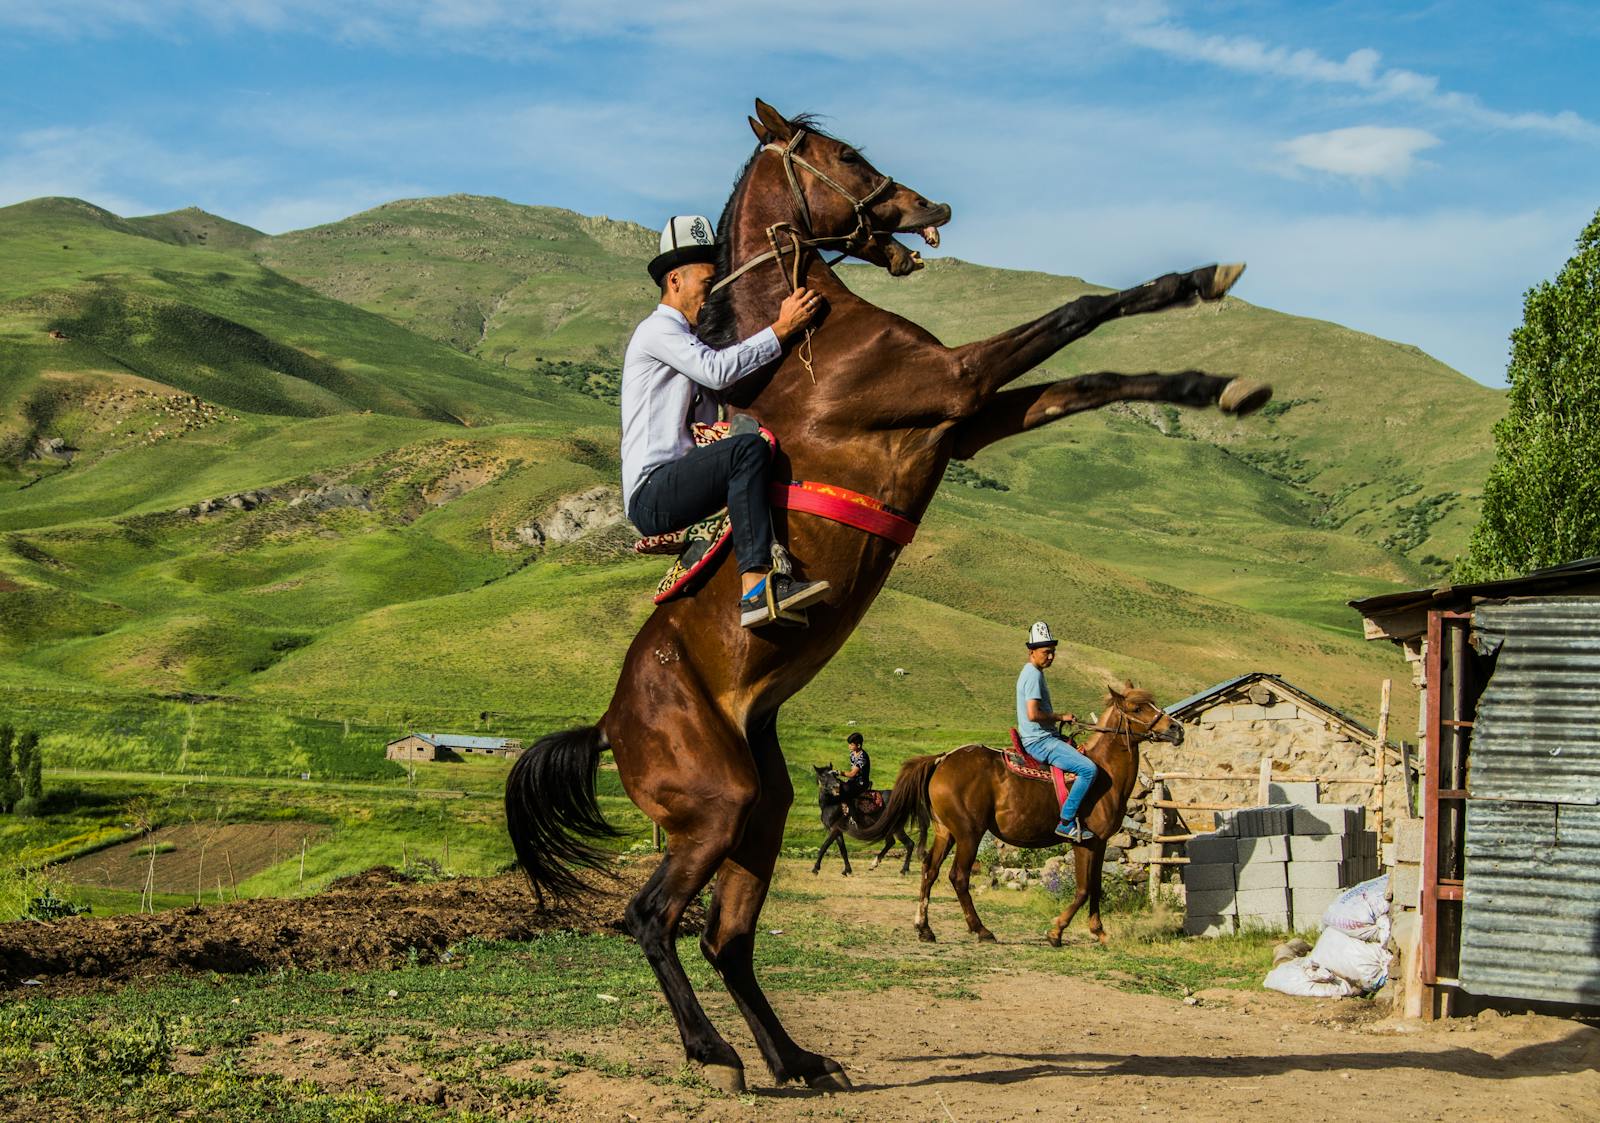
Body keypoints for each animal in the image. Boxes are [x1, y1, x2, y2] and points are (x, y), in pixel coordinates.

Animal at [860, 684, 1181, 946]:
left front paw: (1098, 931)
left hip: (946, 832)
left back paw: (925, 929)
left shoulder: (1100, 843)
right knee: (958, 877)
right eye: (1137, 708)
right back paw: (981, 930)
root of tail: (941, 759)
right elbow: (1082, 889)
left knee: (930, 871)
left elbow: (1095, 887)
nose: (1177, 729)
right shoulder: (1085, 842)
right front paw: (1056, 932)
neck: (1104, 774)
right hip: (969, 833)